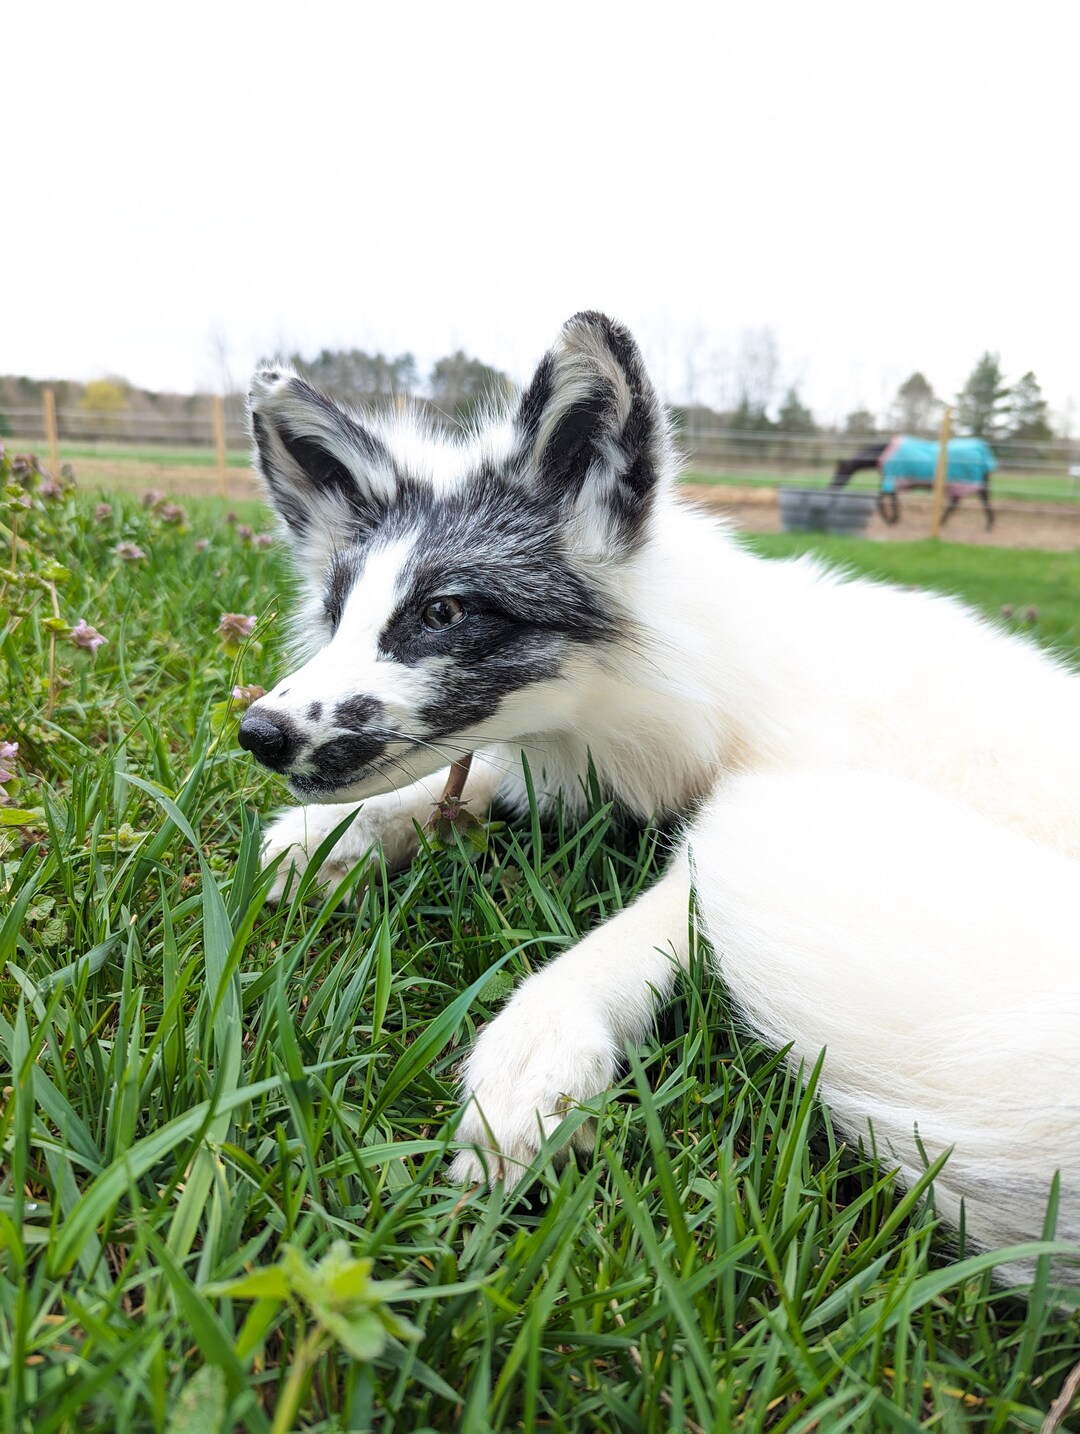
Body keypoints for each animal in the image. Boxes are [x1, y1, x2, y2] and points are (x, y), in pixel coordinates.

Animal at [239, 311, 1080, 1282]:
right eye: (338, 615)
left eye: (444, 612)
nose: (257, 732)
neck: (715, 683)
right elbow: (473, 772)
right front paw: (328, 835)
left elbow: (659, 910)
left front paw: (541, 1044)